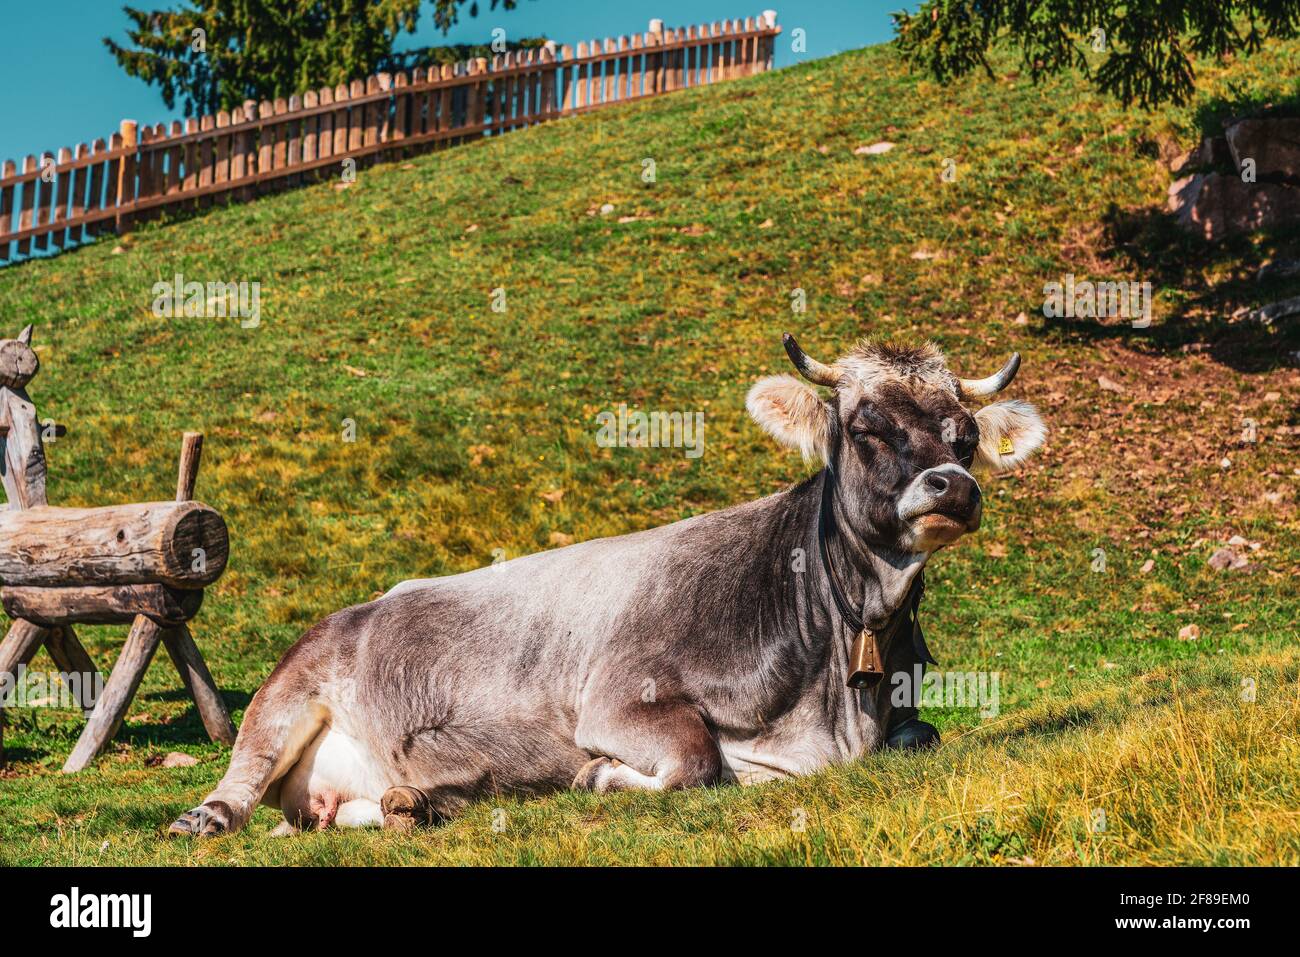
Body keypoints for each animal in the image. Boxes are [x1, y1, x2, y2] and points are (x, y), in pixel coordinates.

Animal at [169, 333, 1046, 836]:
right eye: (866, 427)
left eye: (965, 435)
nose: (953, 485)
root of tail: (358, 604)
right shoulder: (621, 699)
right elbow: (695, 761)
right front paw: (600, 776)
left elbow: (923, 736)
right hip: (289, 690)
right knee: (243, 775)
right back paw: (204, 816)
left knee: (342, 812)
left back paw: (412, 805)